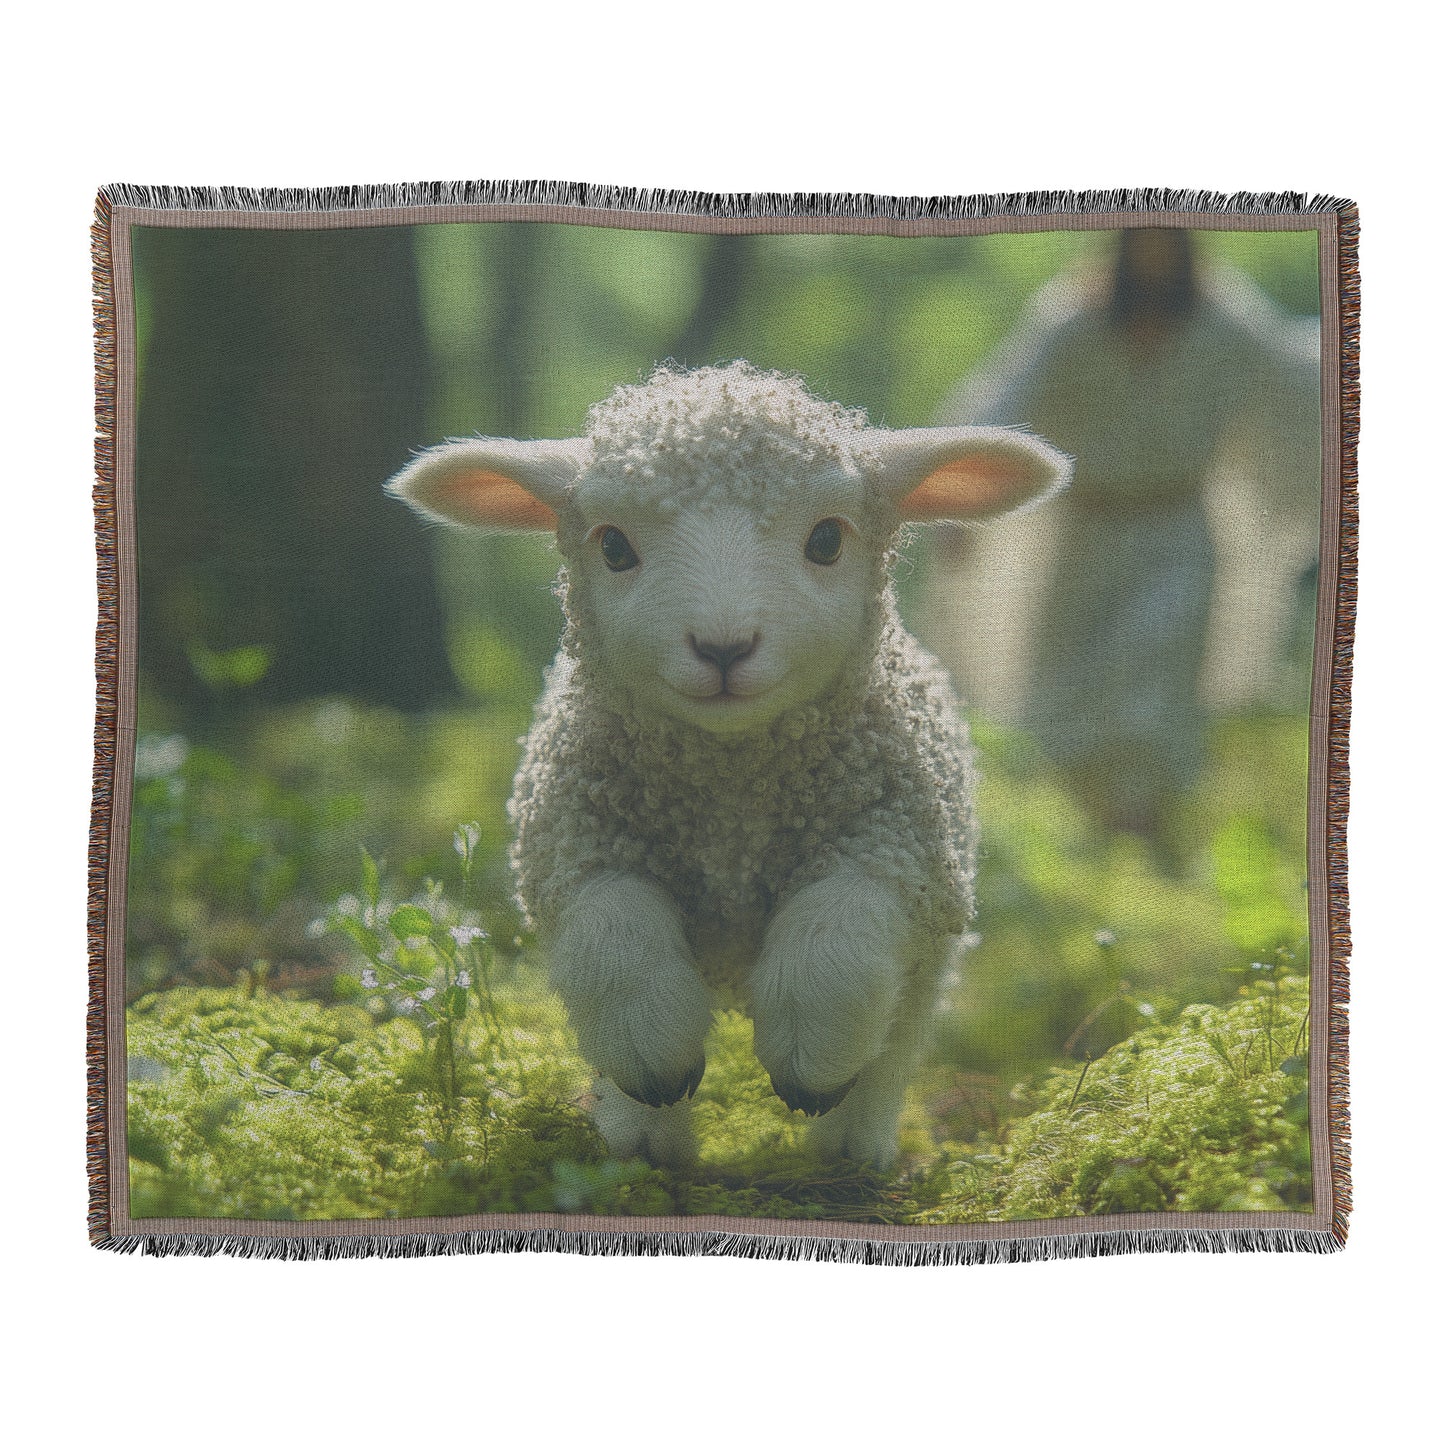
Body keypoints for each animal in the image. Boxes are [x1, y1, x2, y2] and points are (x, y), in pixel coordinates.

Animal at [386, 361, 1070, 1169]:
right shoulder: (577, 844)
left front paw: (808, 1064)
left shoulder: (898, 846)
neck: (730, 797)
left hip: (931, 947)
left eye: (827, 539)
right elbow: (611, 940)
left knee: (896, 1042)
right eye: (613, 548)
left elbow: (836, 937)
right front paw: (655, 1062)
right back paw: (645, 1139)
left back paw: (852, 1146)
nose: (722, 647)